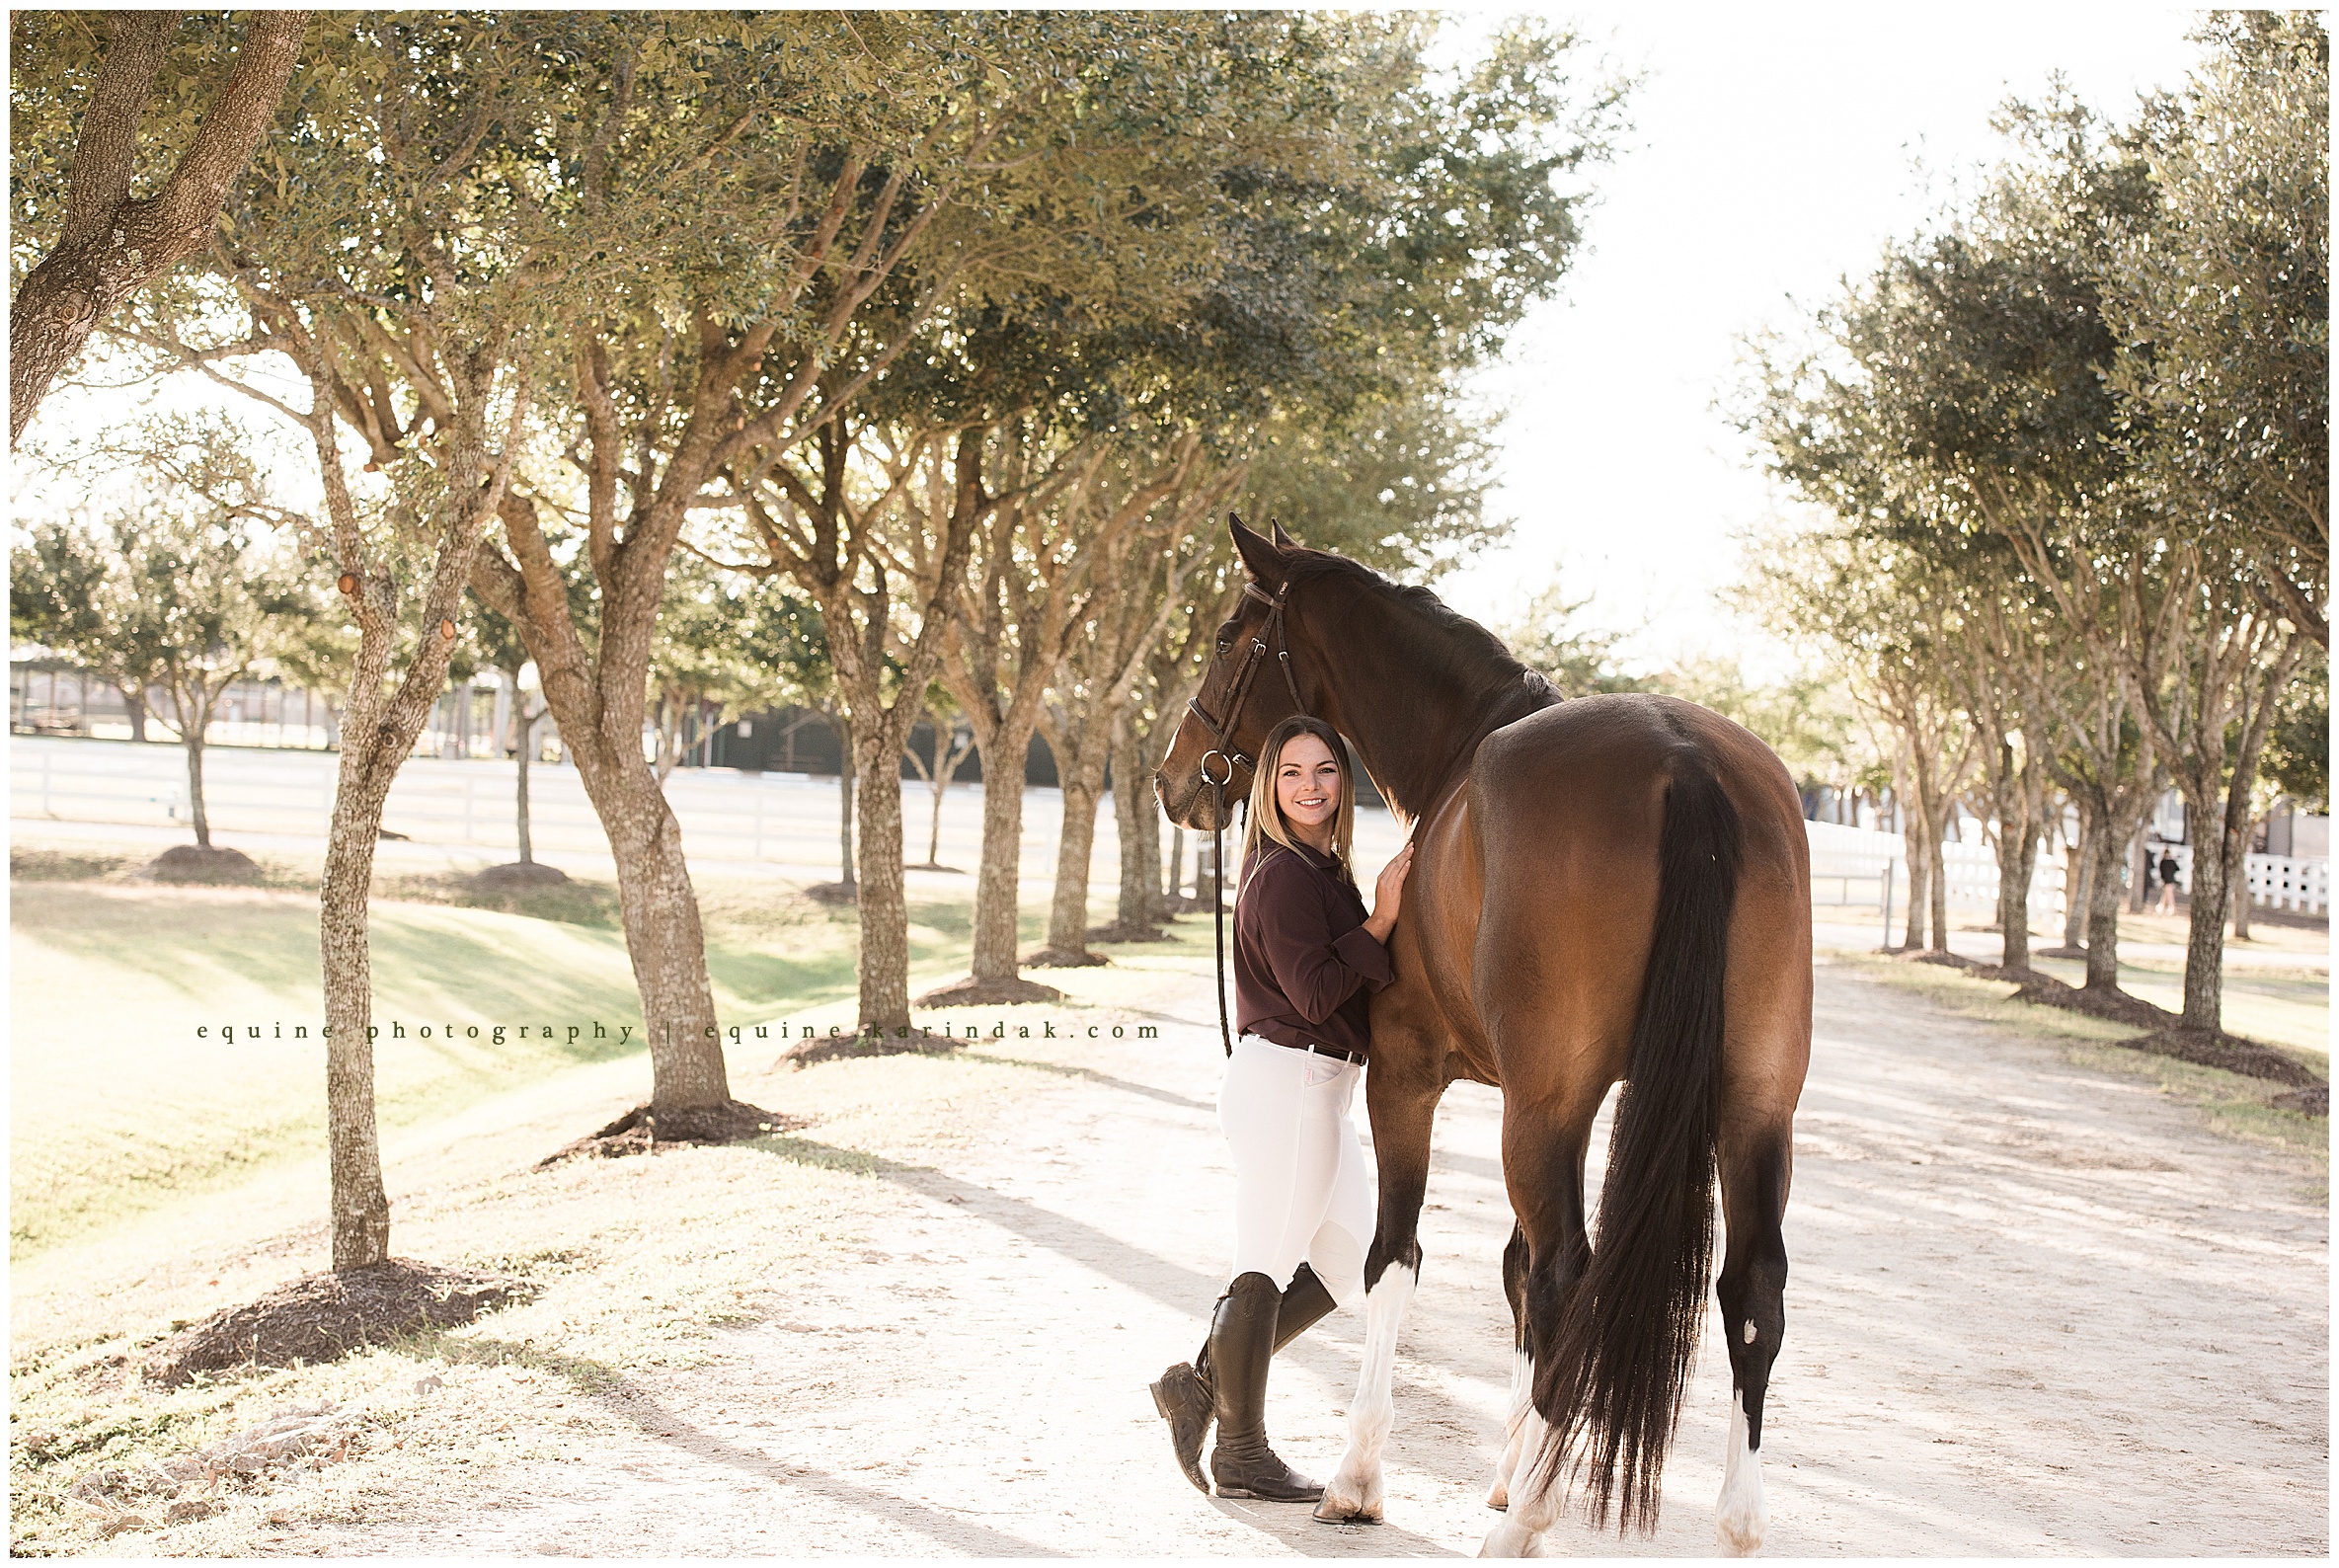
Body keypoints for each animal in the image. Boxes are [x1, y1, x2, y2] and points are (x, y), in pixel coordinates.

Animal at [1155, 517, 1811, 1557]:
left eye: (1227, 637)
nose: (1173, 778)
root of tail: (1684, 759)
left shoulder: (1410, 1078)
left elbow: (1394, 1259)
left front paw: (1360, 1479)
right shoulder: (1539, 1096)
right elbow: (1506, 1272)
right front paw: (1504, 1468)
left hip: (1545, 1114)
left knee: (1566, 1277)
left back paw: (1526, 1523)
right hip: (1752, 1106)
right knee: (1748, 1290)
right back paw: (1733, 1524)